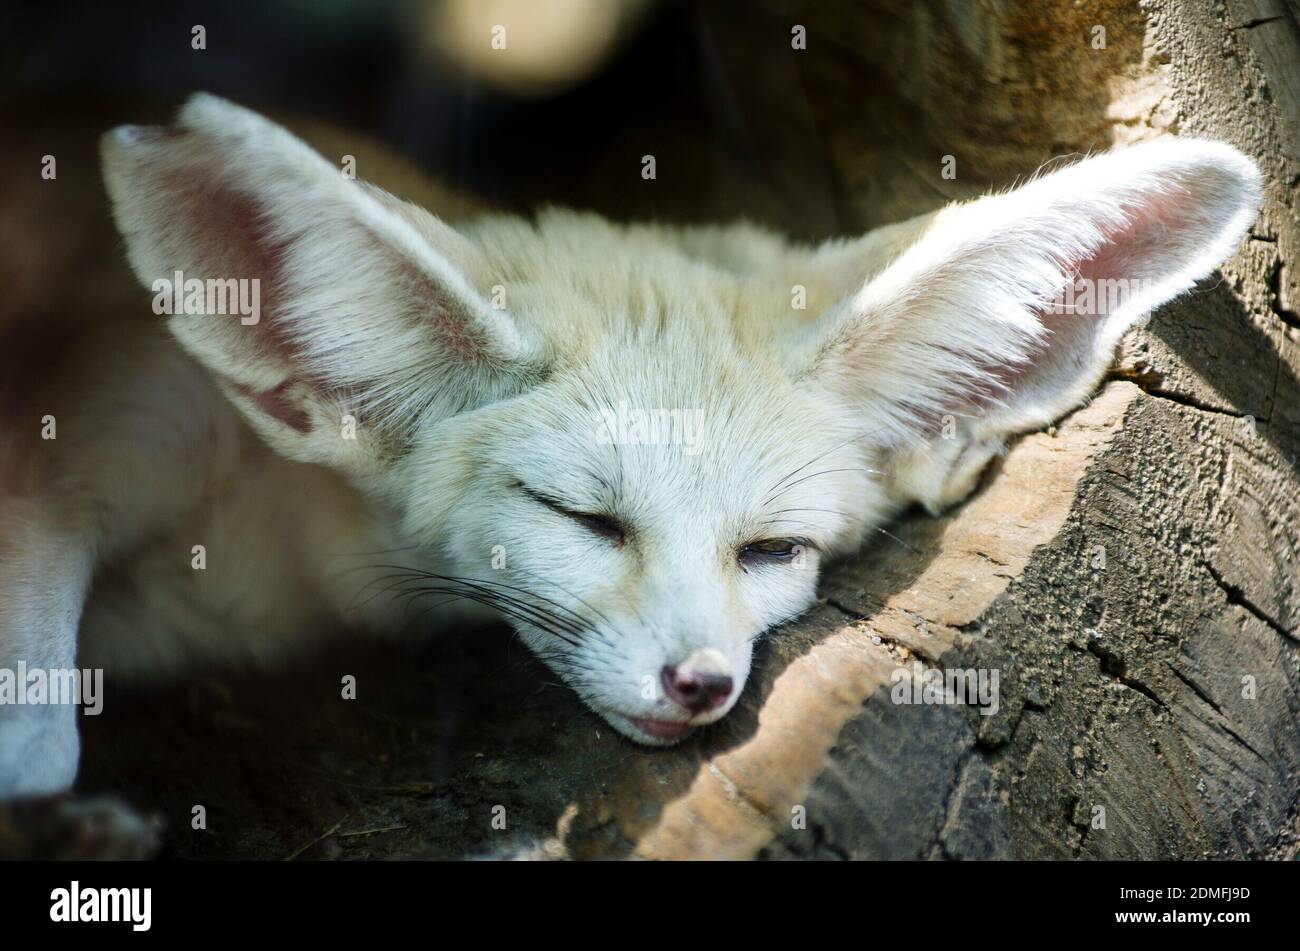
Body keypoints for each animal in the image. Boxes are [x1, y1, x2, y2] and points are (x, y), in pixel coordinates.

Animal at [0, 94, 1261, 799]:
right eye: (584, 519)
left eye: (772, 550)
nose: (700, 684)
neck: (281, 562)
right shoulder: (108, 428)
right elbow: (38, 744)